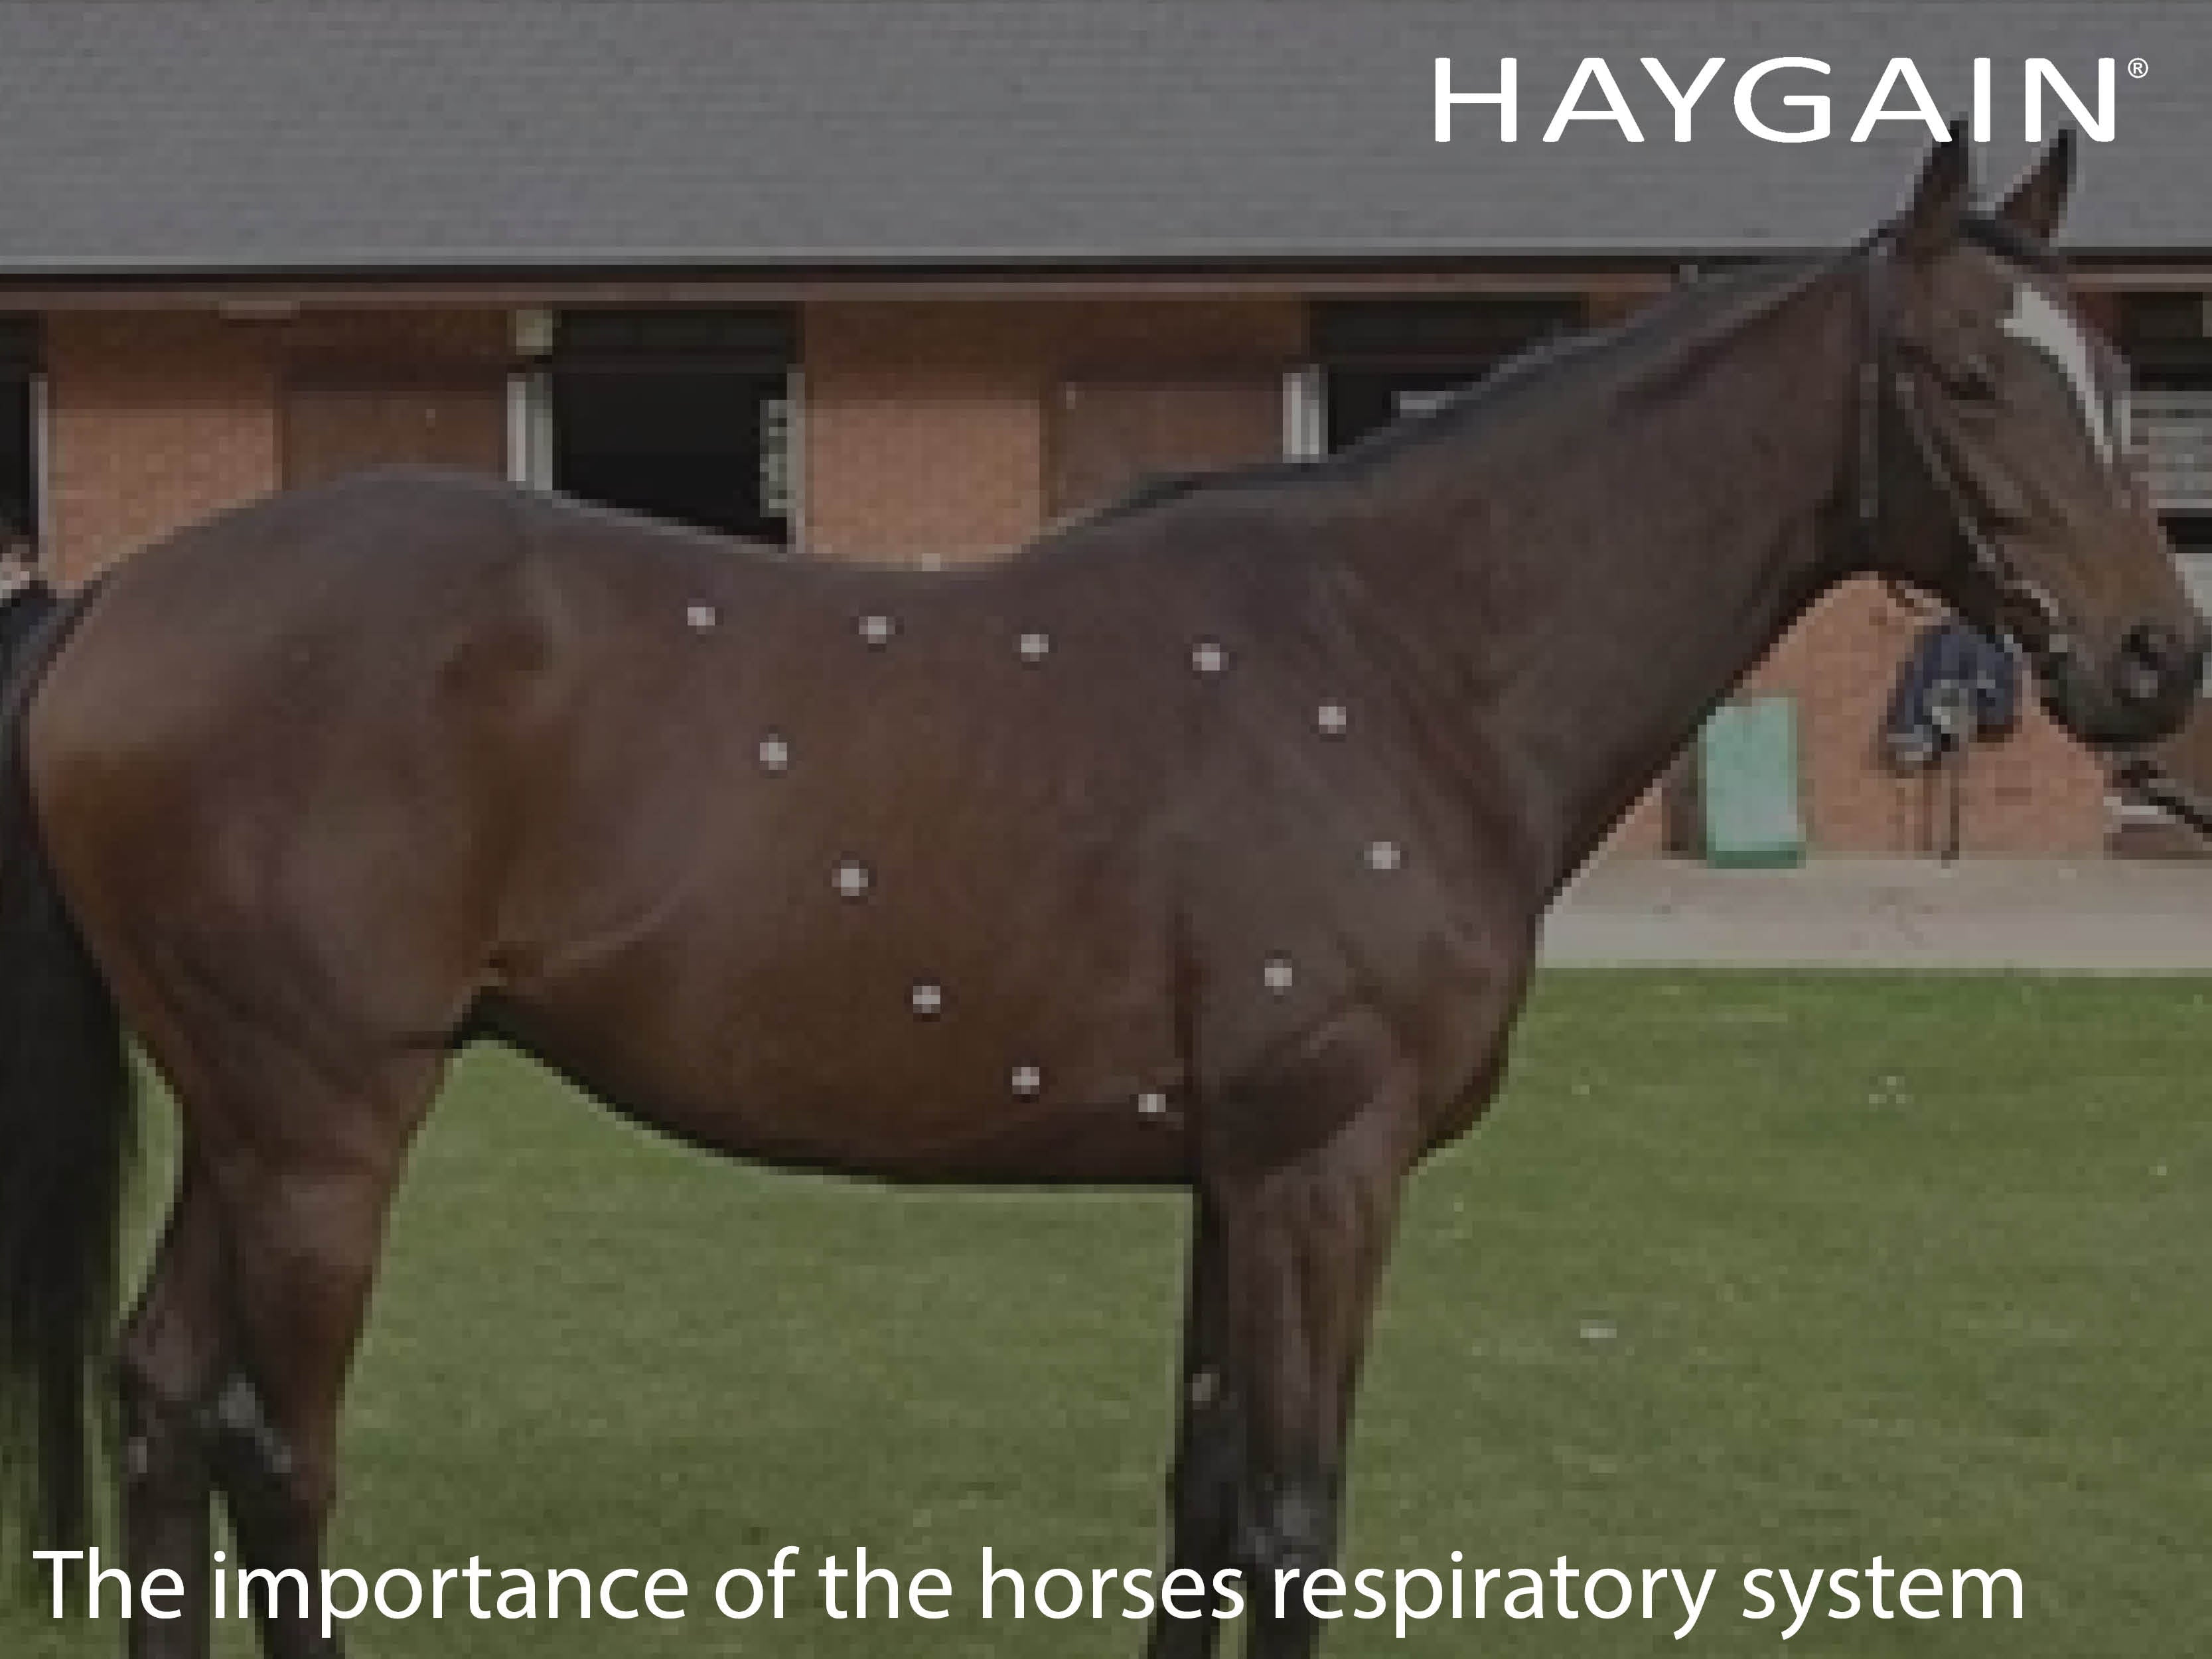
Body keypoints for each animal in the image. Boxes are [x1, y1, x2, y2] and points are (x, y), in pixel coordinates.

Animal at [1, 129, 2203, 1659]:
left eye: (2115, 369)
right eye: (1959, 376)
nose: (2153, 658)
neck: (1398, 651)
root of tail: (118, 597)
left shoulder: (1235, 1169)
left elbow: (1207, 1496)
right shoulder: (1326, 1165)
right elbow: (1297, 1516)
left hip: (248, 1120)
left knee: (163, 1399)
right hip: (325, 1125)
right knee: (272, 1448)